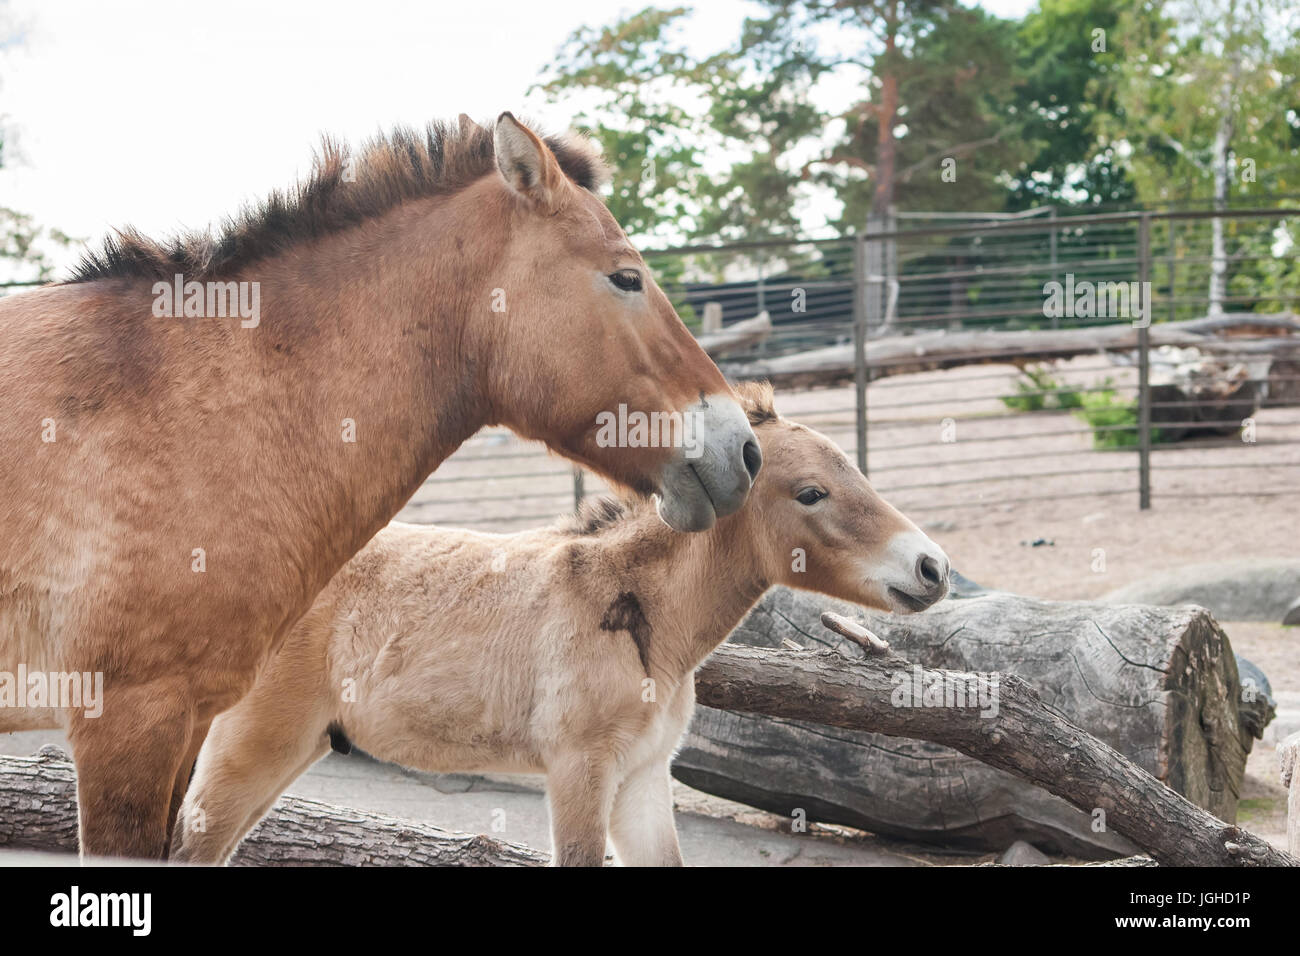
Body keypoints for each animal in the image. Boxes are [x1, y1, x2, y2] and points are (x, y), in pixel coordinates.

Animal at [172, 382, 949, 866]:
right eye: (811, 493)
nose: (932, 568)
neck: (639, 612)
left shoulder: (642, 778)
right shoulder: (580, 770)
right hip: (254, 743)